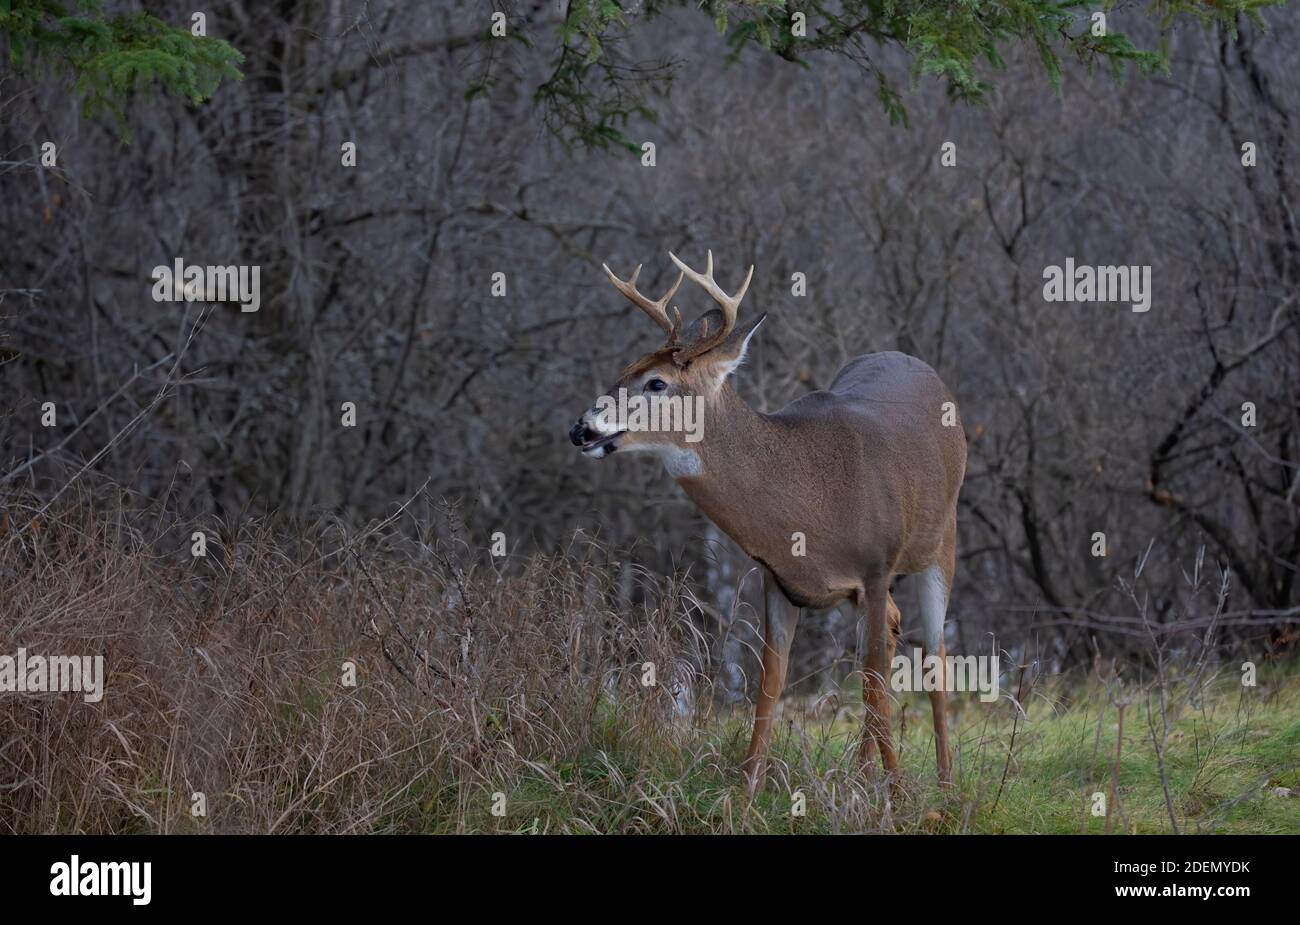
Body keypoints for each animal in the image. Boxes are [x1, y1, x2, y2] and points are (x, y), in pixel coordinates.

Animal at [568, 251, 967, 795]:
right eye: (625, 368)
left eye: (656, 382)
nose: (580, 429)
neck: (809, 507)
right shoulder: (780, 578)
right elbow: (769, 687)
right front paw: (745, 791)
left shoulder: (876, 567)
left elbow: (875, 683)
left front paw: (900, 794)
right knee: (891, 634)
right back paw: (864, 772)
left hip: (940, 540)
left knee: (935, 659)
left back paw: (945, 784)